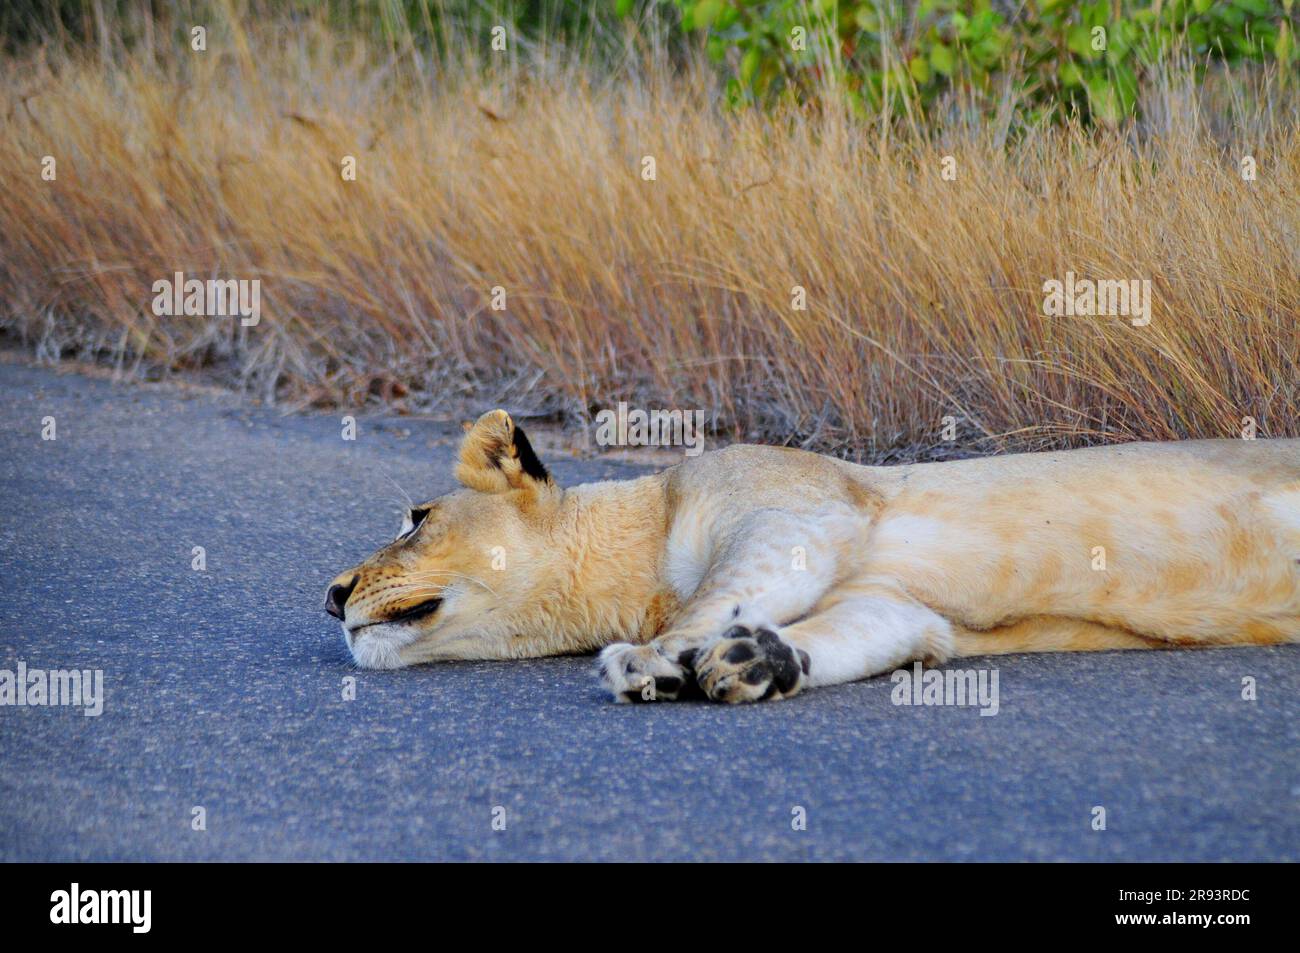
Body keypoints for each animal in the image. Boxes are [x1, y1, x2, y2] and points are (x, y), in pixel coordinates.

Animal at [325, 410, 1300, 703]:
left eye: (413, 517)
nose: (331, 594)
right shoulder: (900, 604)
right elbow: (857, 632)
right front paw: (756, 660)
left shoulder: (801, 506)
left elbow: (716, 594)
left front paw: (651, 659)